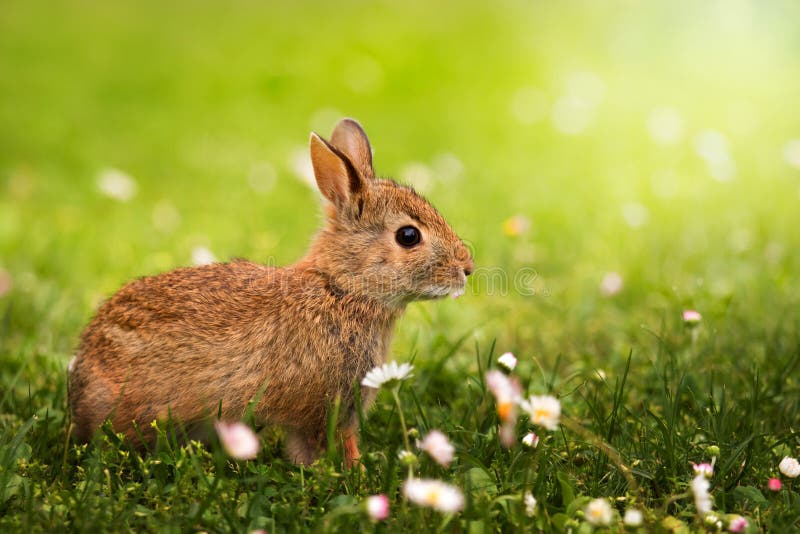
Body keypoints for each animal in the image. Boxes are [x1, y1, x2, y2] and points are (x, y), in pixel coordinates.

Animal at [68, 118, 474, 466]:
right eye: (408, 236)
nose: (467, 268)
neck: (341, 289)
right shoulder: (321, 408)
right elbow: (323, 444)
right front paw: (352, 472)